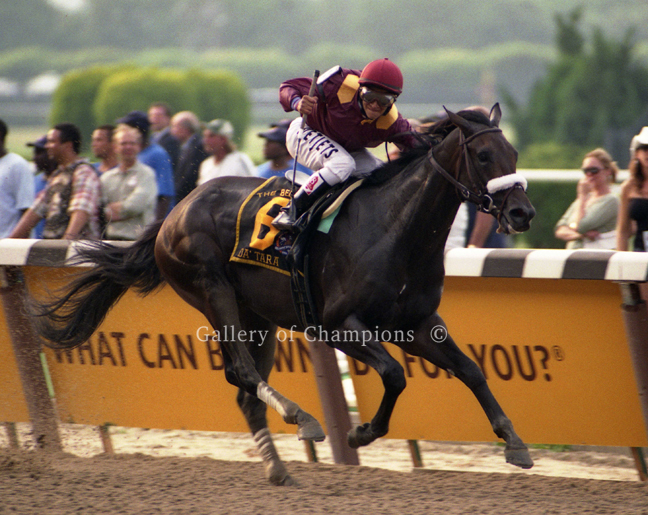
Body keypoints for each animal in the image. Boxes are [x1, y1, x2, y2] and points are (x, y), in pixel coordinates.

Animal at [31, 104, 536, 486]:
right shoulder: (338, 324)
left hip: (260, 318)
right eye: (484, 154)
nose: (523, 212)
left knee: (245, 390)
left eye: (513, 152)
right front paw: (361, 433)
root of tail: (176, 209)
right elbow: (394, 374)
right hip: (212, 291)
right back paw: (301, 416)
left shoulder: (416, 323)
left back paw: (278, 468)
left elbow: (471, 370)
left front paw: (514, 443)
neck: (397, 228)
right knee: (242, 370)